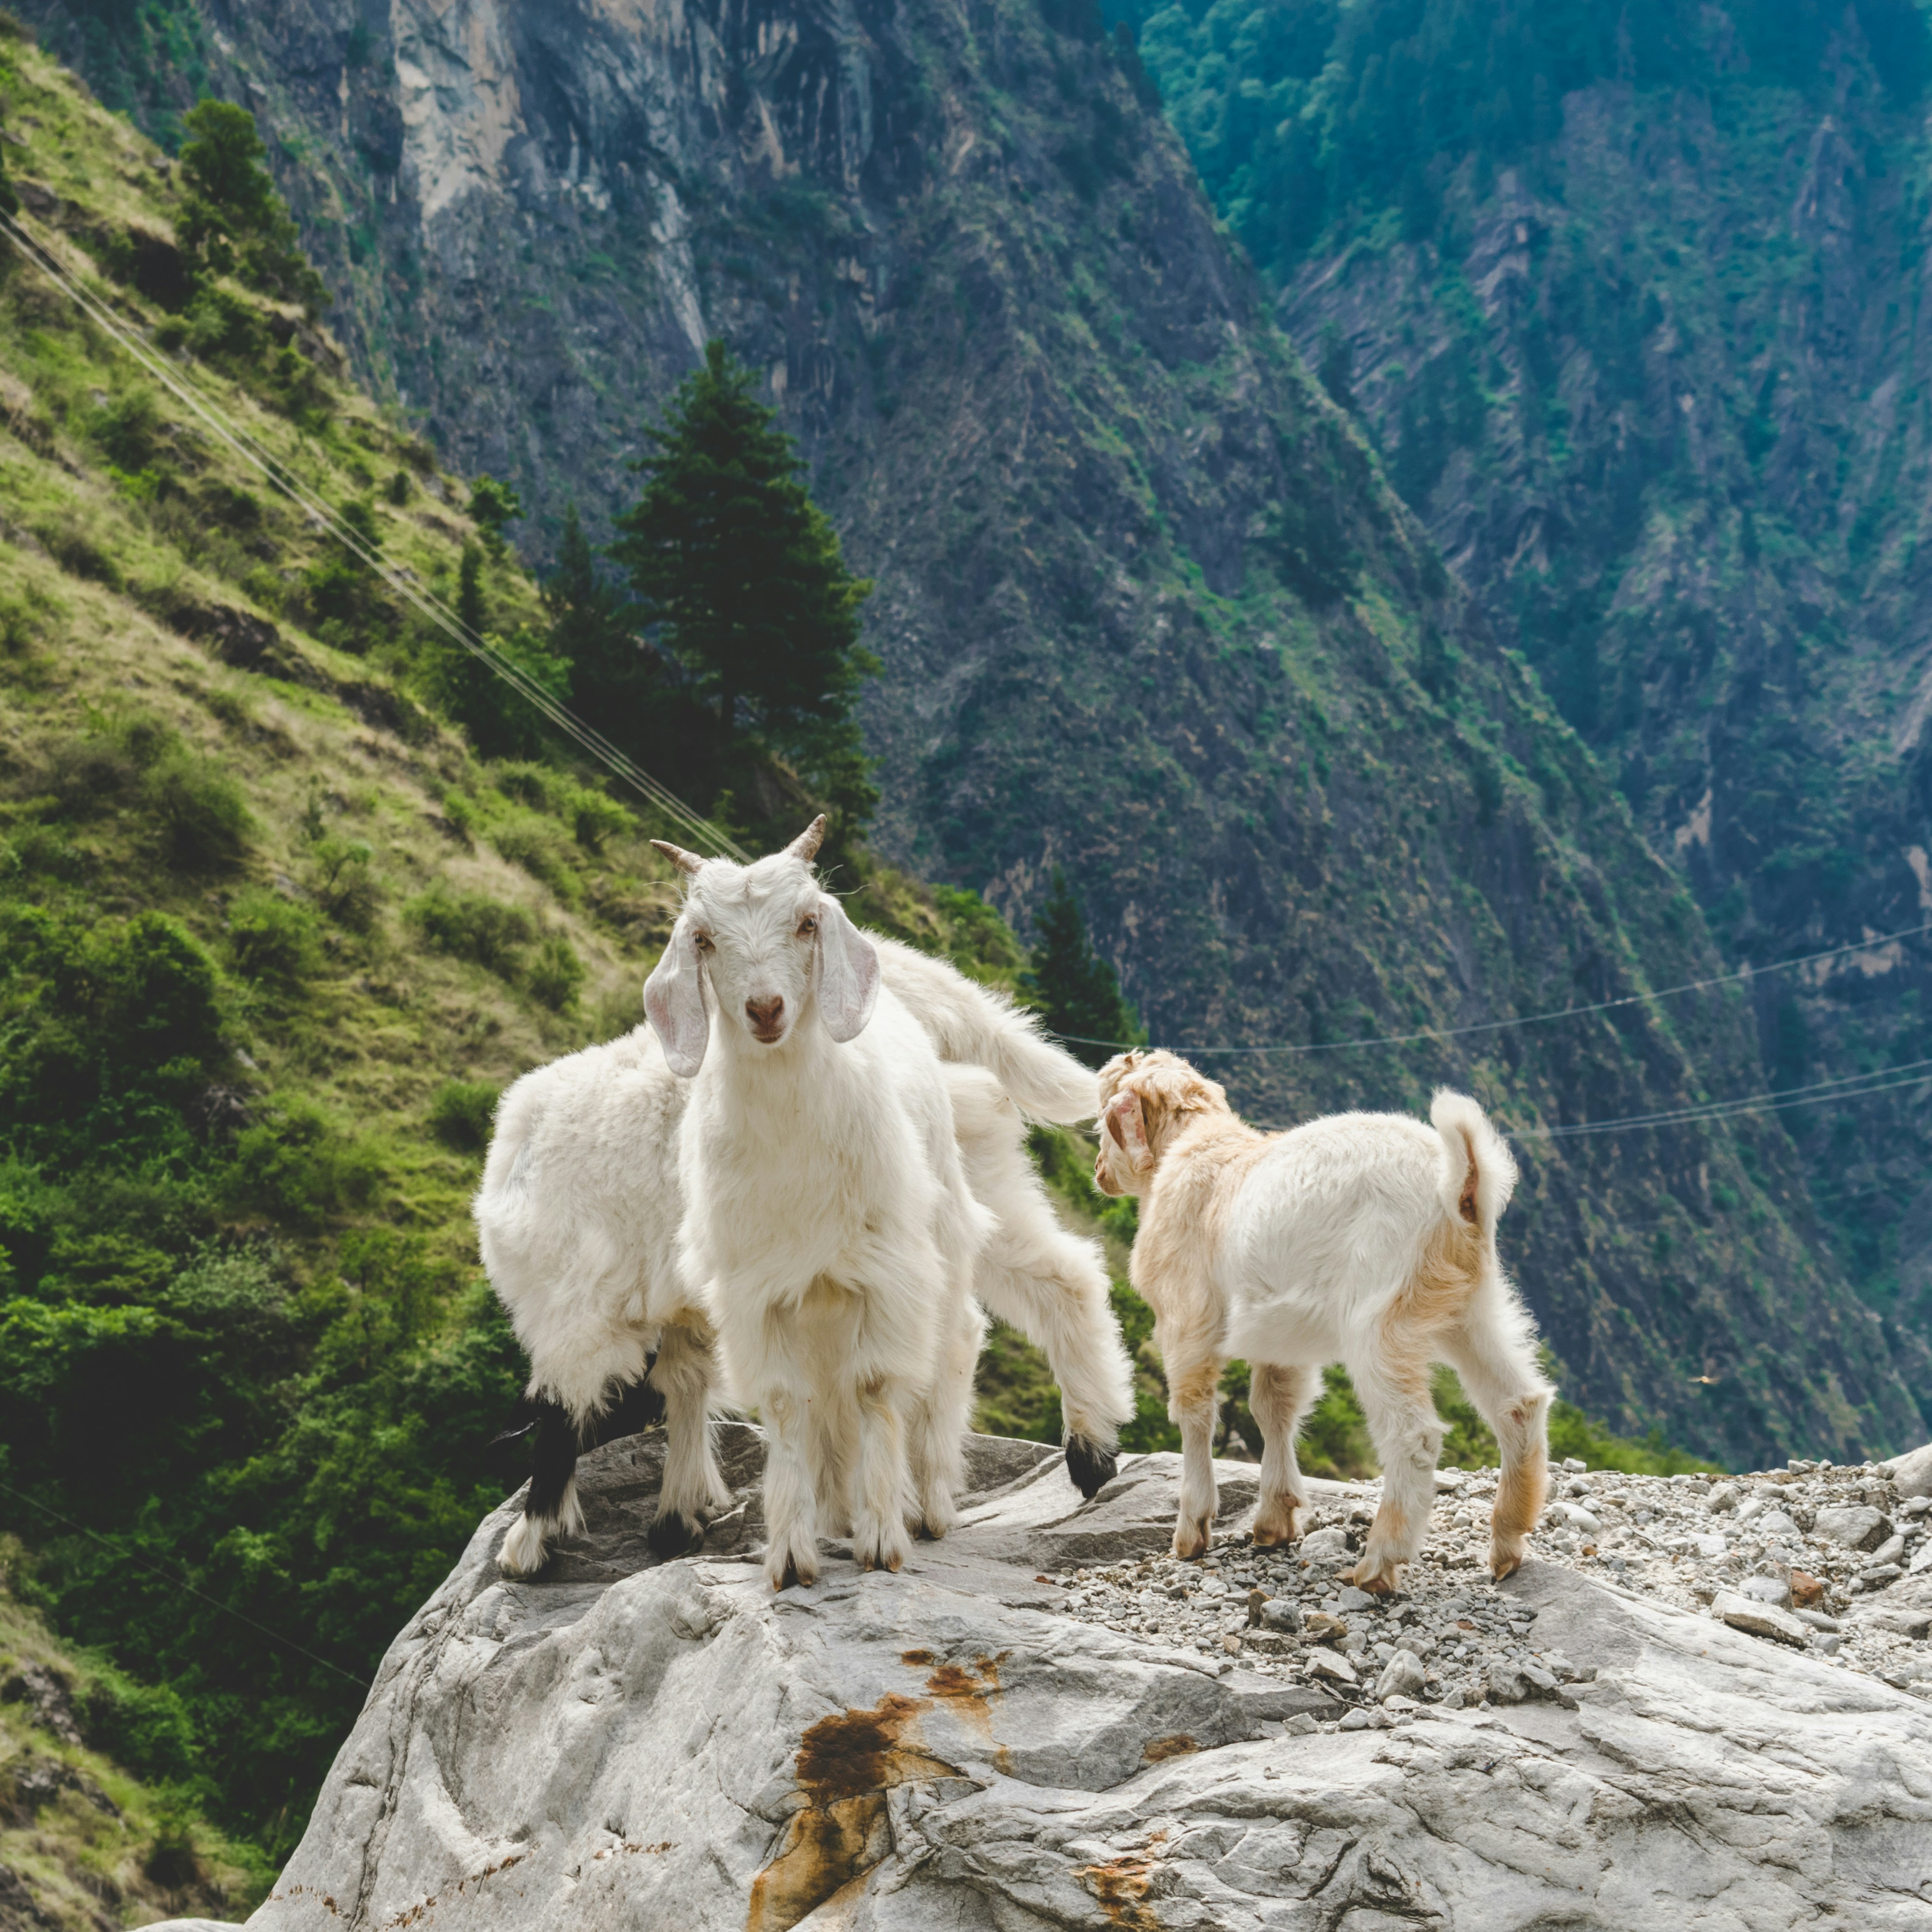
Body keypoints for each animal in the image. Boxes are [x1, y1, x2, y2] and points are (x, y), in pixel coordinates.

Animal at [647, 817, 993, 1587]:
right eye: (703, 938)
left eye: (807, 922)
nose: (765, 1009)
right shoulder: (757, 1291)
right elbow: (786, 1401)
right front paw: (789, 1552)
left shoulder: (885, 1272)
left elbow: (876, 1388)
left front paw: (883, 1538)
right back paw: (837, 1510)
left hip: (943, 1246)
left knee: (950, 1350)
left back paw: (929, 1504)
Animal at [1094, 1050, 1551, 1592]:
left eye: (1102, 1116)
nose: (1098, 1172)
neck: (1198, 1150)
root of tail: (1458, 1184)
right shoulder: (1277, 1334)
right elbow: (1274, 1408)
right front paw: (1274, 1522)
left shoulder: (1186, 1320)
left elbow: (1194, 1412)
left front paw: (1191, 1533)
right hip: (1474, 1308)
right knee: (1518, 1403)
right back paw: (1507, 1546)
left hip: (1380, 1319)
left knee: (1413, 1435)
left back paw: (1377, 1564)